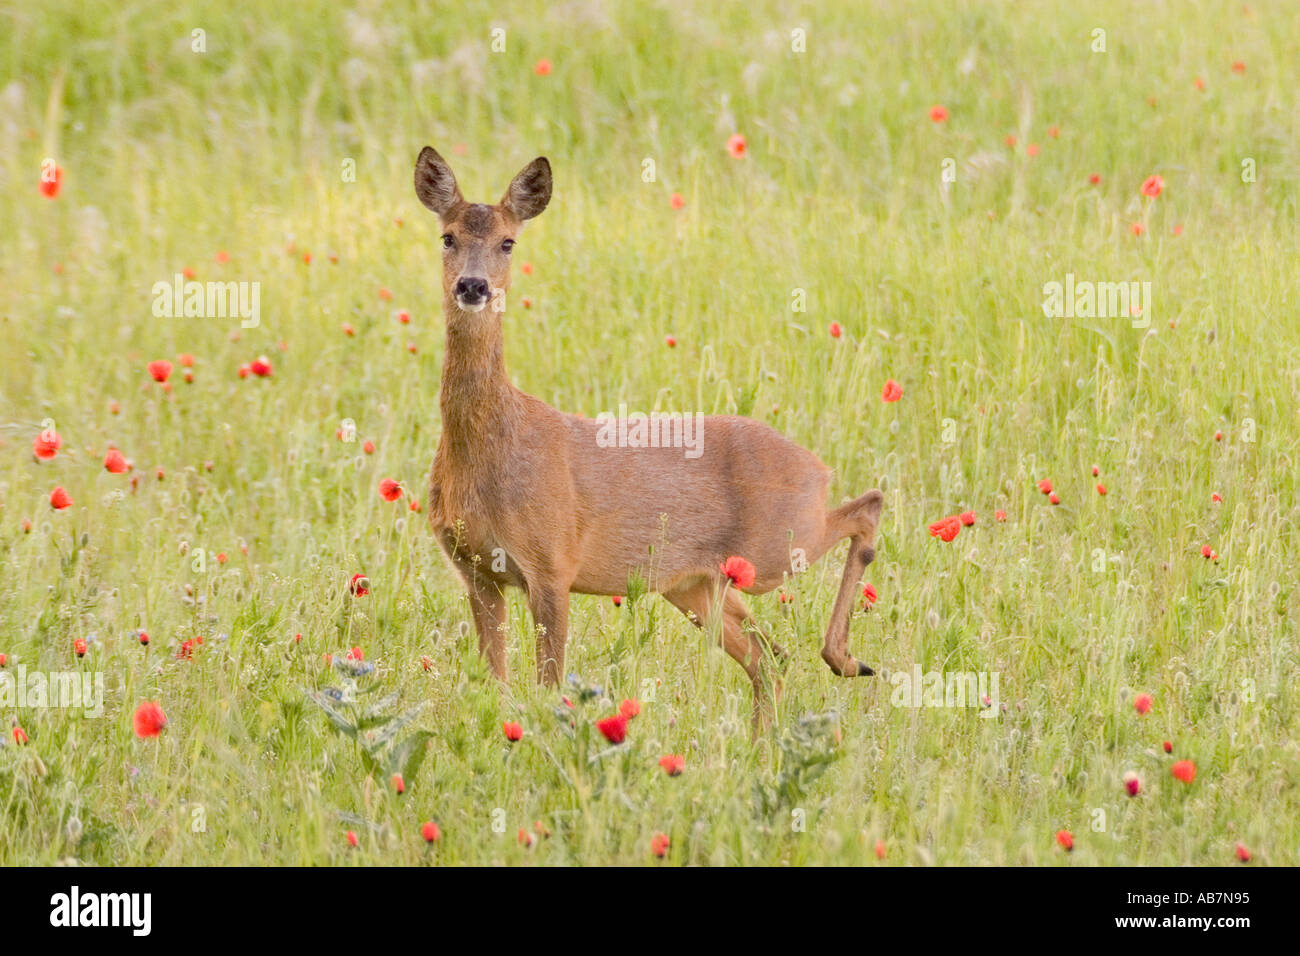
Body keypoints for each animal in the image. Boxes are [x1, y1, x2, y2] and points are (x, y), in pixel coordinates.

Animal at [414, 146, 884, 730]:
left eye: (508, 241)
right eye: (447, 236)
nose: (473, 286)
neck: (493, 444)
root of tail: (817, 468)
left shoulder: (552, 562)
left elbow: (549, 688)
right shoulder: (475, 570)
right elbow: (494, 687)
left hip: (777, 543)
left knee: (865, 507)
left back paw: (846, 660)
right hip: (696, 585)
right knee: (769, 657)